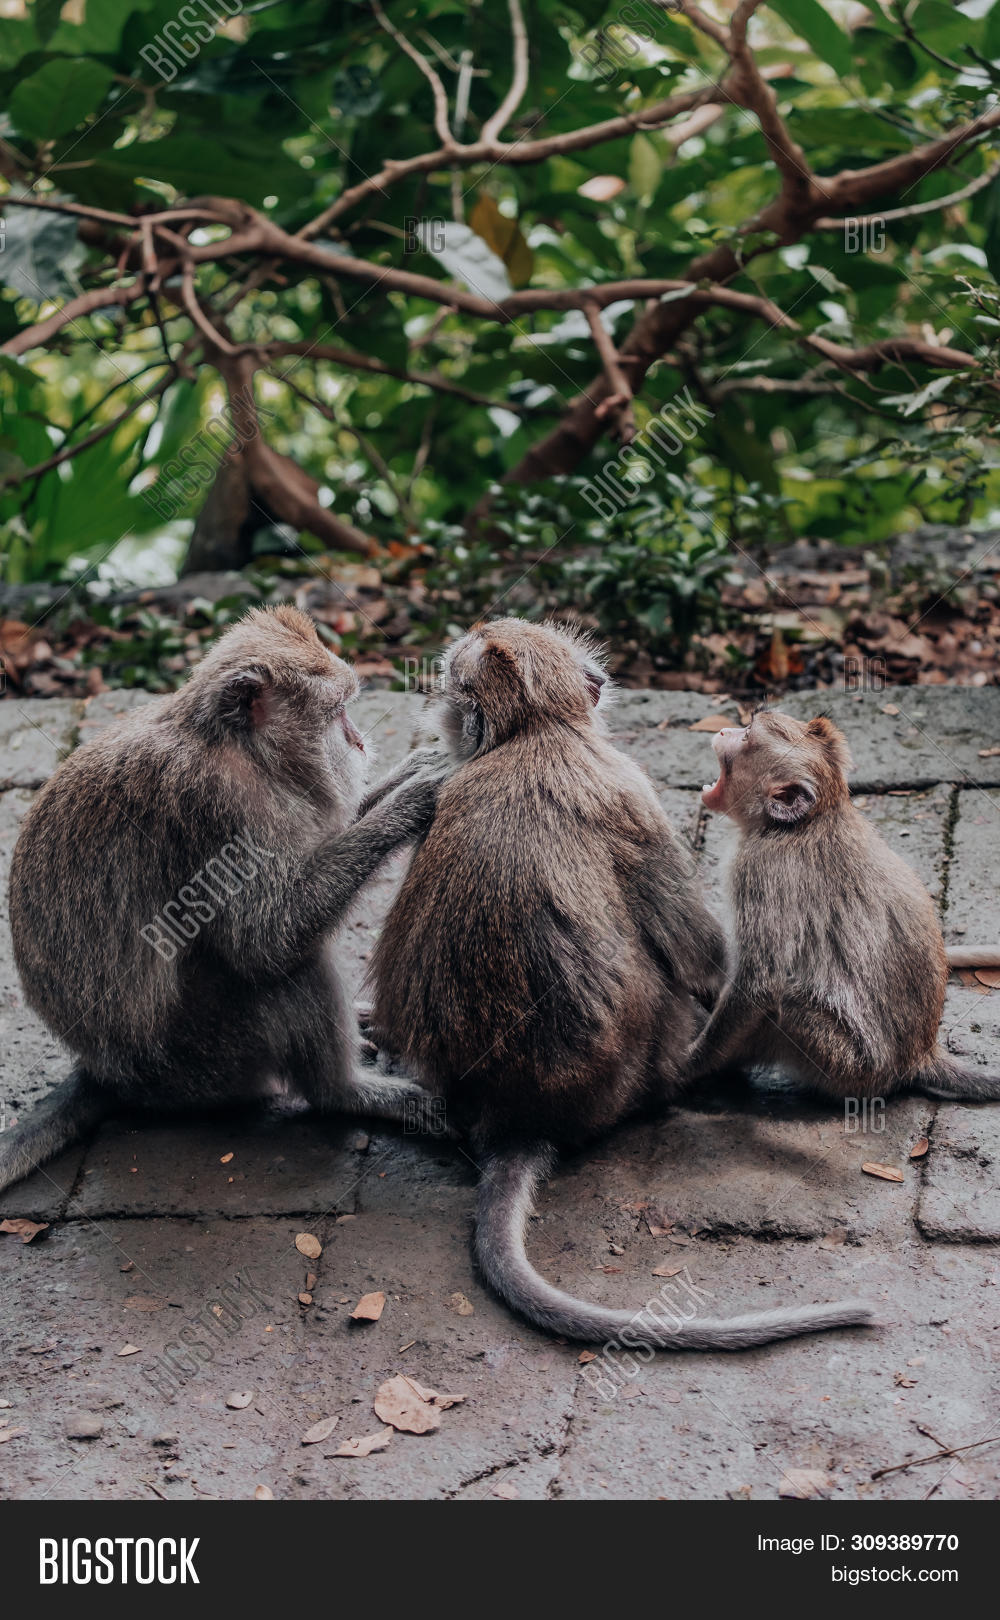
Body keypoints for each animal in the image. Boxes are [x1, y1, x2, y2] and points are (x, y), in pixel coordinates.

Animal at [0, 606, 447, 1198]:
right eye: (337, 713)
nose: (356, 741)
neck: (242, 752)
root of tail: (111, 1074)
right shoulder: (217, 808)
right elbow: (266, 942)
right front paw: (413, 798)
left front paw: (409, 772)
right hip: (207, 1058)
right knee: (282, 973)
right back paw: (346, 1092)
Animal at [688, 706, 1000, 1102]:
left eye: (746, 737)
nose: (724, 731)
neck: (806, 822)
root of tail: (920, 1055)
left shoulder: (757, 869)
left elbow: (760, 982)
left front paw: (685, 1067)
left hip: (843, 1064)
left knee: (784, 1002)